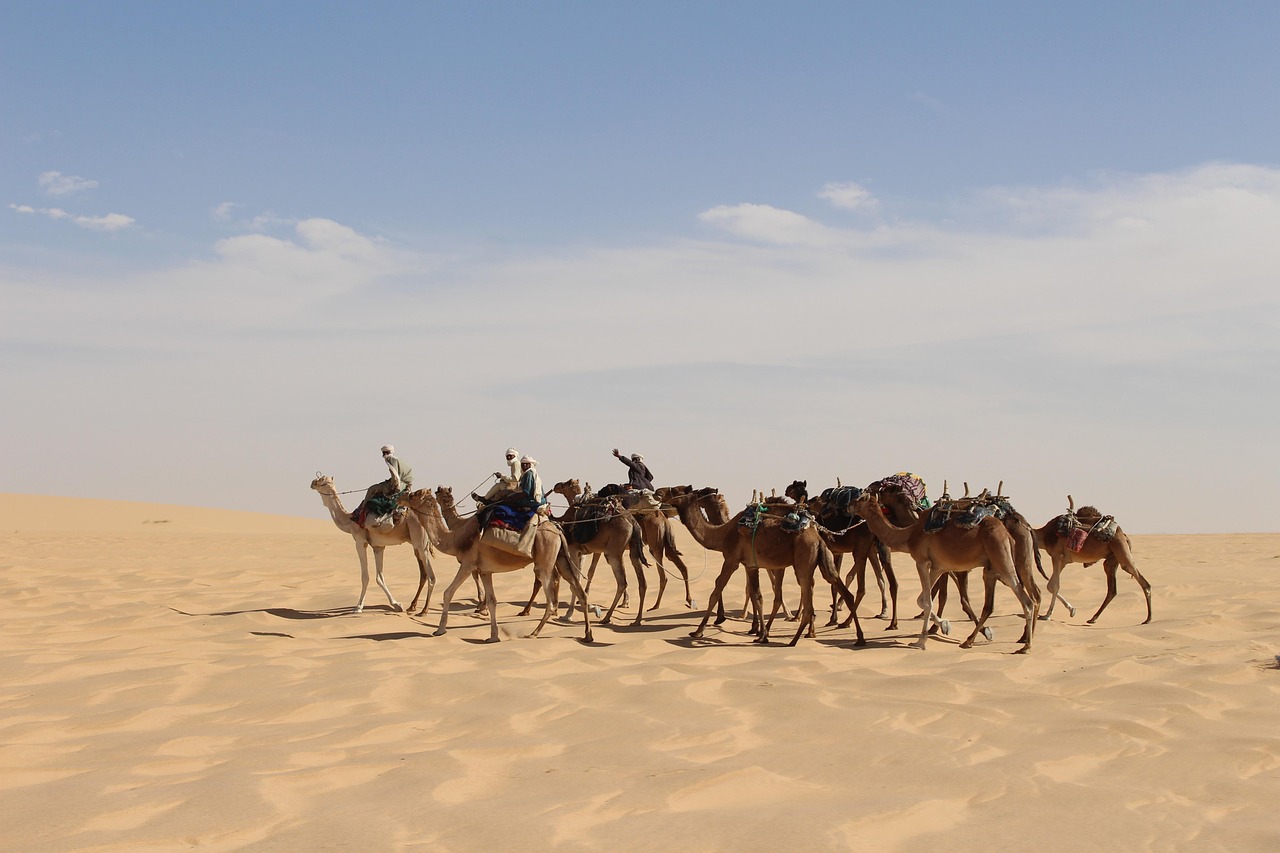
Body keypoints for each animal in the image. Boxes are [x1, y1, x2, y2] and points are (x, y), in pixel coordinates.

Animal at [310, 474, 434, 613]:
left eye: (322, 481)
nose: (312, 483)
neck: (350, 520)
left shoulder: (360, 542)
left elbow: (365, 576)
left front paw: (358, 607)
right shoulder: (378, 546)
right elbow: (379, 577)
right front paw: (397, 605)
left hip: (420, 541)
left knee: (430, 575)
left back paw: (424, 610)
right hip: (417, 543)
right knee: (424, 573)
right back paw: (413, 606)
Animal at [397, 489, 593, 643]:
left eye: (414, 495)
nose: (401, 496)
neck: (456, 538)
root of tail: (557, 530)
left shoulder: (467, 564)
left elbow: (448, 593)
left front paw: (439, 630)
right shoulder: (485, 571)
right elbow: (492, 601)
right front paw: (493, 636)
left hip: (545, 561)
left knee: (551, 599)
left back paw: (534, 633)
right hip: (561, 559)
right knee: (579, 591)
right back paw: (587, 635)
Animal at [667, 490, 866, 646]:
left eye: (677, 492)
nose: (664, 499)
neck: (722, 534)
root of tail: (817, 538)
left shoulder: (731, 560)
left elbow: (716, 591)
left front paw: (697, 631)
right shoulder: (751, 565)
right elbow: (757, 597)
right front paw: (761, 635)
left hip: (803, 560)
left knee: (808, 600)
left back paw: (794, 639)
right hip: (822, 560)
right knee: (841, 591)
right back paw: (858, 637)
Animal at [851, 491, 1039, 653]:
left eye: (859, 500)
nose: (848, 507)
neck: (909, 535)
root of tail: (1007, 534)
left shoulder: (921, 561)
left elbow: (927, 601)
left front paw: (921, 641)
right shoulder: (938, 567)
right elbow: (922, 599)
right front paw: (944, 625)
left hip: (1002, 559)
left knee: (1028, 600)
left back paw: (1025, 646)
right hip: (992, 567)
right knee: (995, 603)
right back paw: (971, 641)